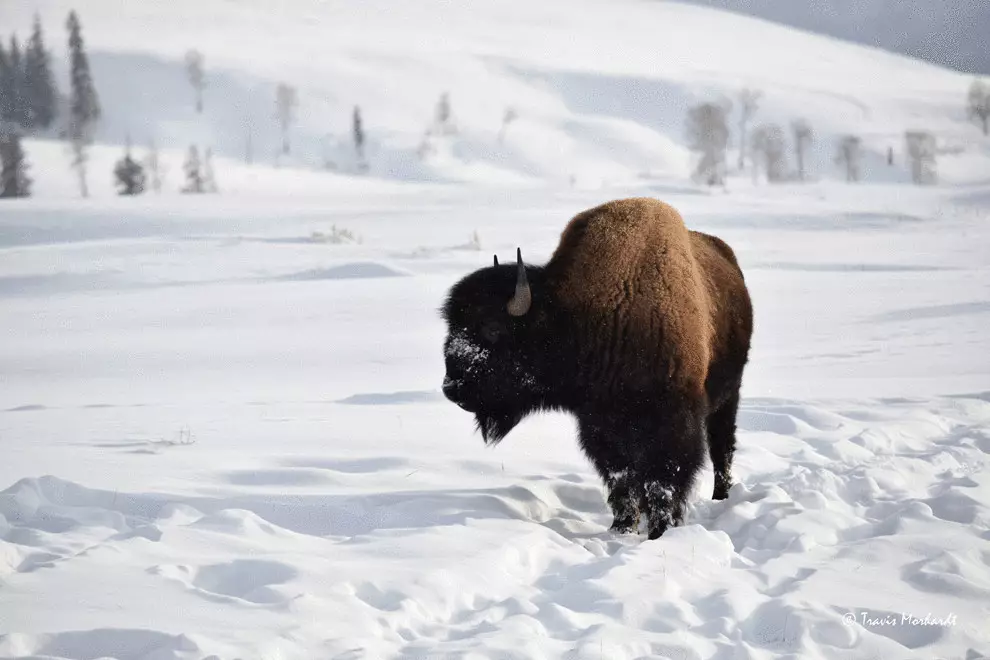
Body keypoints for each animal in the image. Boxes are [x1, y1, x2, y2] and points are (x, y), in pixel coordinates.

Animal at [440, 195, 752, 536]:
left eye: (493, 328)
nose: (451, 388)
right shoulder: (600, 424)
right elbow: (622, 478)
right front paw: (622, 527)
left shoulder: (673, 422)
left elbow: (664, 481)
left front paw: (660, 530)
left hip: (728, 397)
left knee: (722, 447)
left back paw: (721, 496)